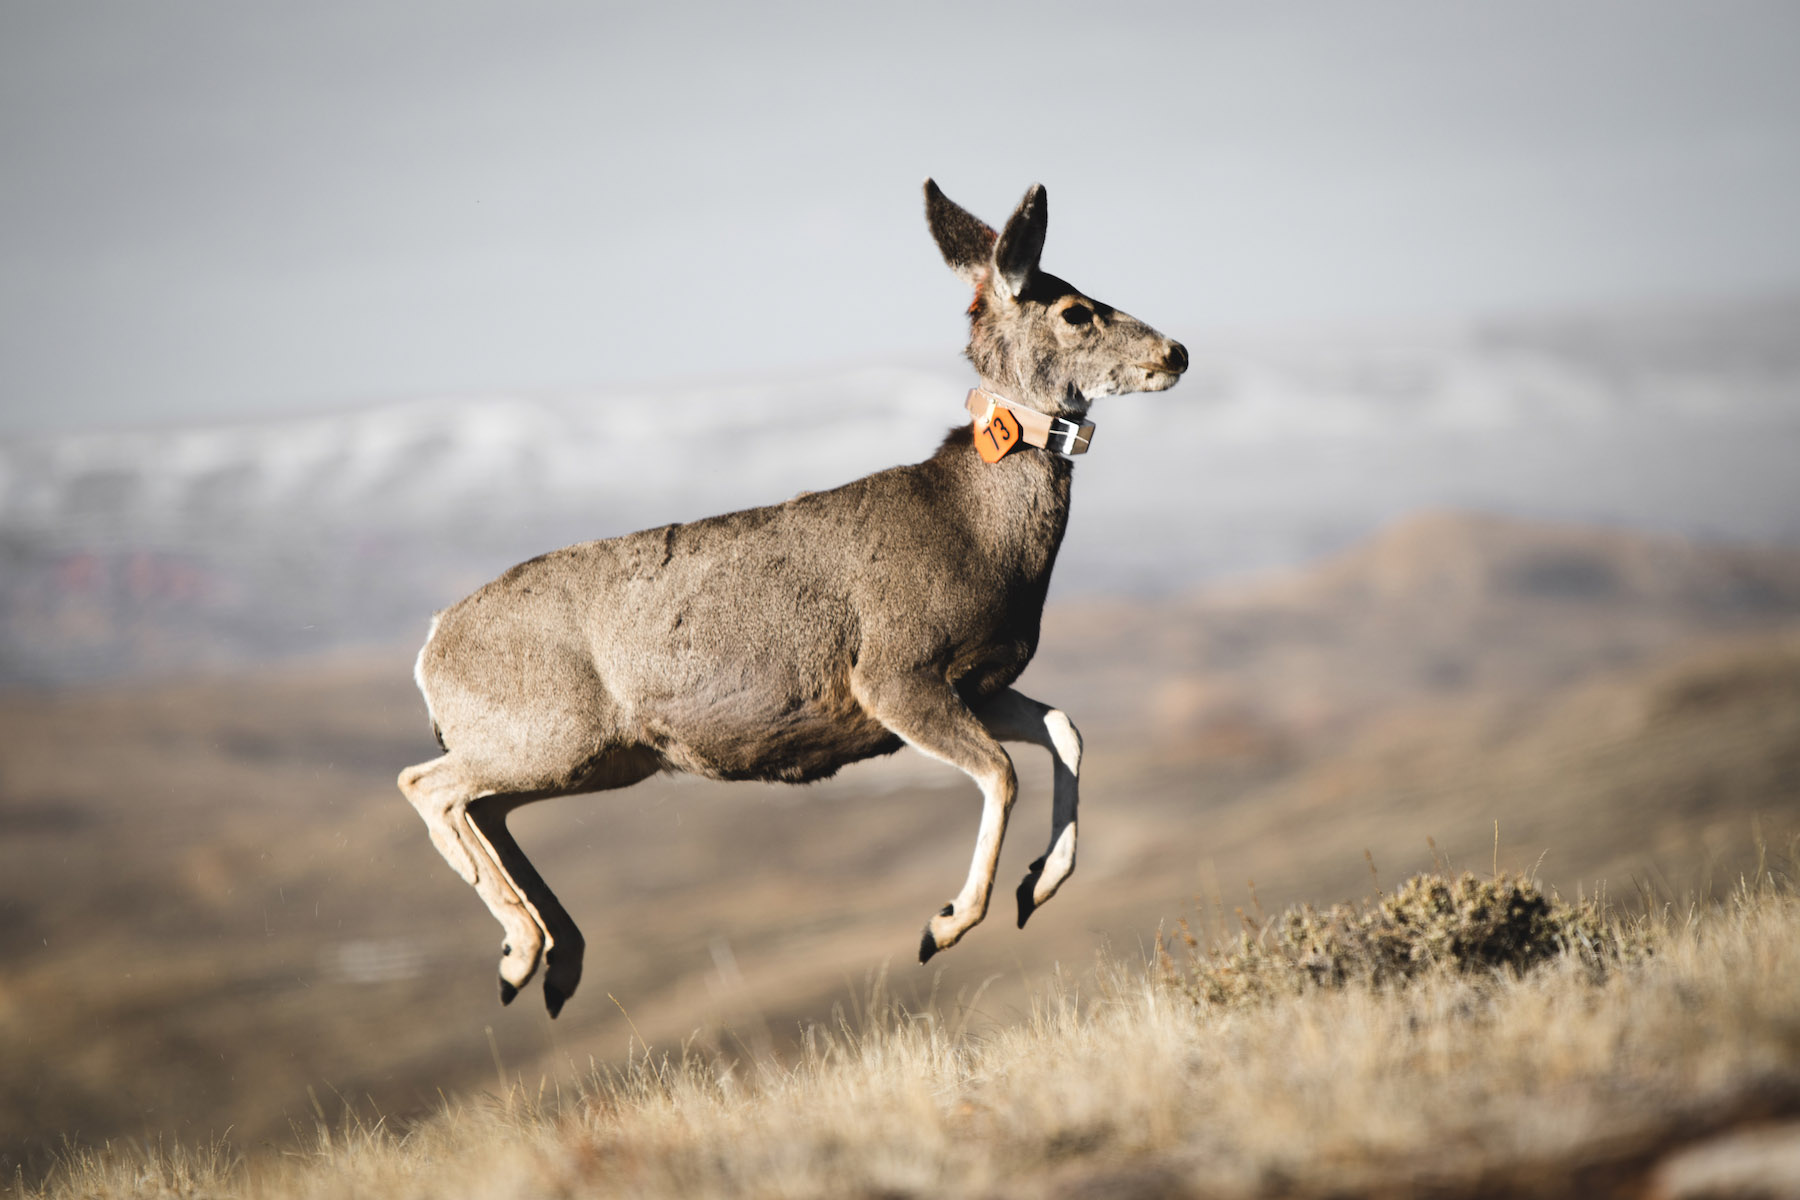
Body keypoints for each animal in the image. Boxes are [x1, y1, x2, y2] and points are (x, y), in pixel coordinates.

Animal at [398, 180, 1187, 1016]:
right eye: (1075, 311)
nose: (1175, 352)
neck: (978, 531)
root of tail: (430, 645)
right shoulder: (895, 674)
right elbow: (1002, 772)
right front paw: (943, 925)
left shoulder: (976, 682)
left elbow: (1065, 729)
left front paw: (1038, 887)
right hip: (553, 734)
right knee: (428, 784)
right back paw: (521, 951)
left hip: (590, 757)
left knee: (485, 804)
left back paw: (555, 959)